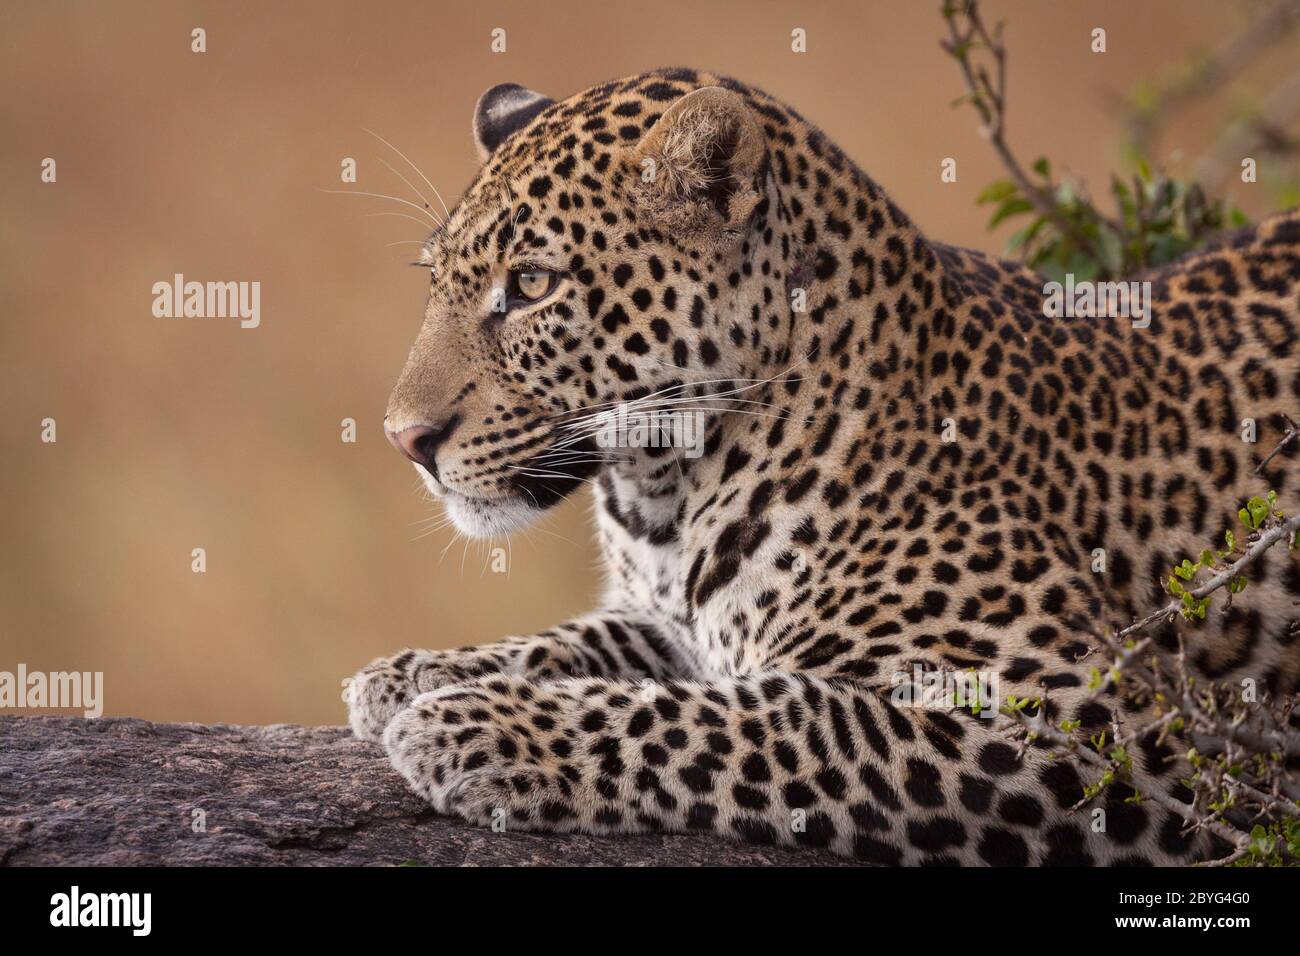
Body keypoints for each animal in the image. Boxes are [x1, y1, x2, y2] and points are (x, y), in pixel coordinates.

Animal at [345, 68, 1300, 865]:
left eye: (535, 284)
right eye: (435, 280)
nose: (405, 439)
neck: (665, 497)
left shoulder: (1098, 718)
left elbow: (761, 718)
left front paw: (482, 727)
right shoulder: (670, 622)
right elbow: (580, 643)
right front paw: (413, 675)